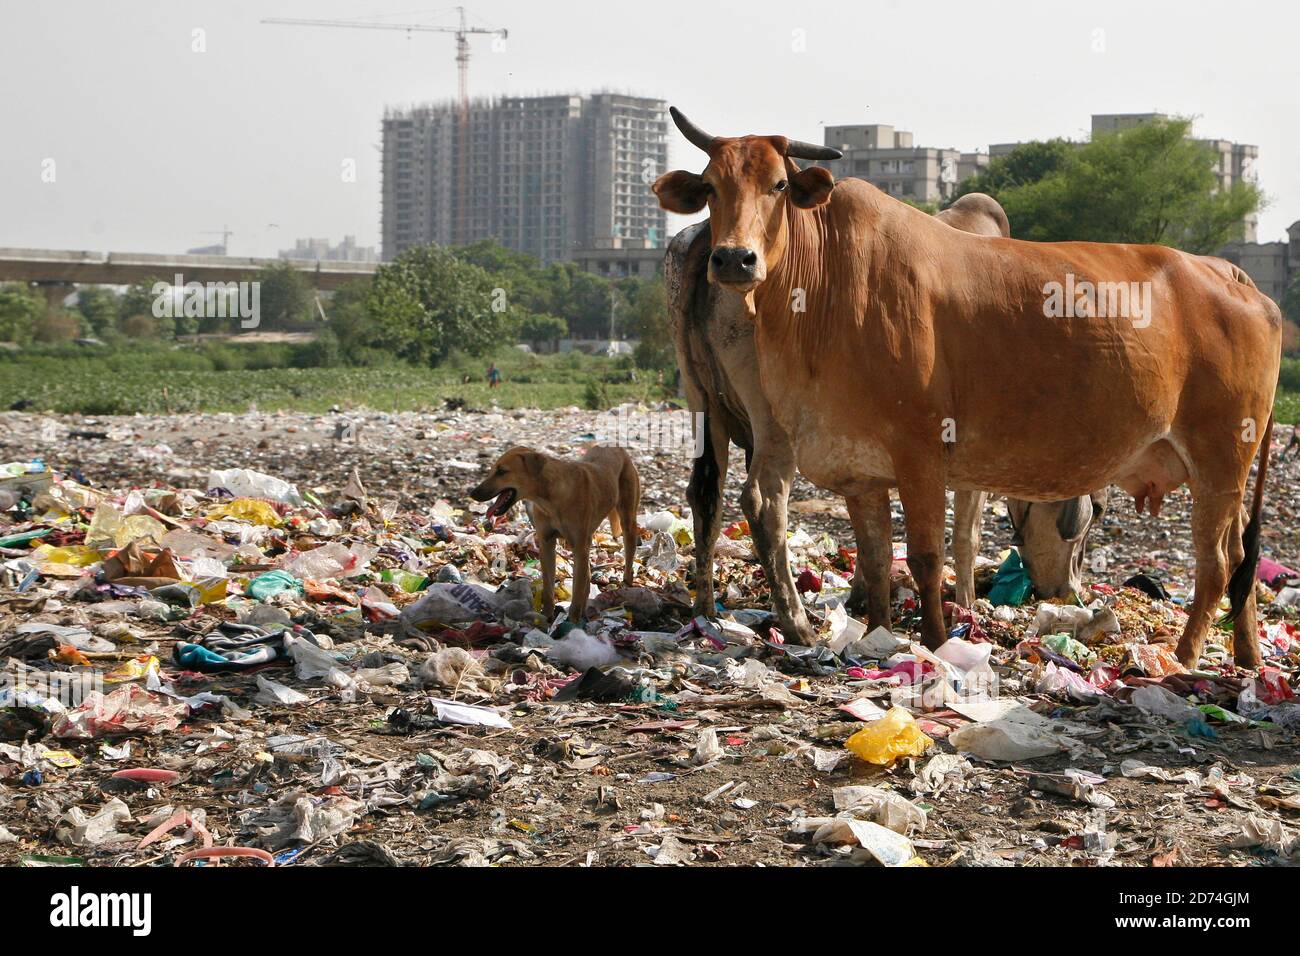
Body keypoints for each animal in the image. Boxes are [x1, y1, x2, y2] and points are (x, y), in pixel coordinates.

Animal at [666, 195, 1107, 643]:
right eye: (1093, 515)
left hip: (701, 402)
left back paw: (705, 611)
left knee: (704, 497)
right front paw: (966, 604)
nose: (1066, 590)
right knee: (763, 503)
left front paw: (864, 598)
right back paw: (797, 625)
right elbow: (966, 534)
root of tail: (709, 241)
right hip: (775, 420)